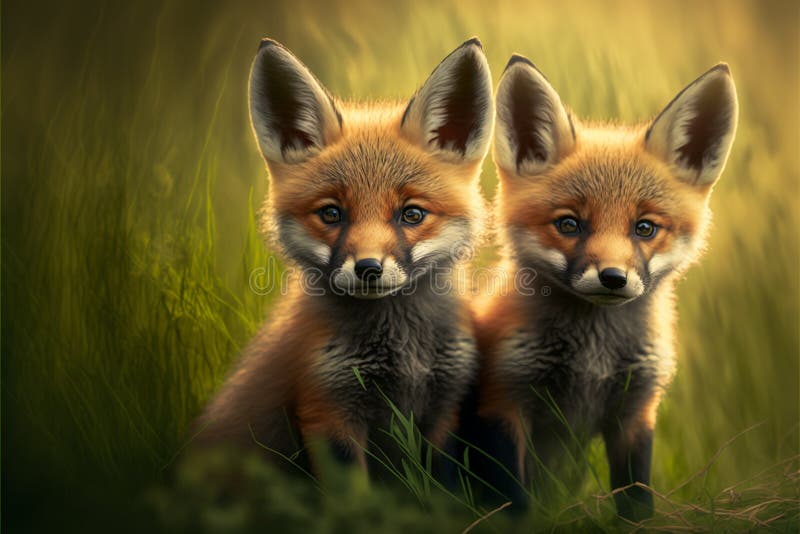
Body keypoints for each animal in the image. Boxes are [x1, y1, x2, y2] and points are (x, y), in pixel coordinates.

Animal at [192, 38, 494, 478]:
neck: (402, 354)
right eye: (332, 213)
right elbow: (353, 493)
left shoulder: (445, 406)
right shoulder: (328, 408)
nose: (368, 269)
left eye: (412, 214)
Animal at [459, 56, 738, 520]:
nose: (612, 277)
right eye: (569, 224)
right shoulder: (504, 401)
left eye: (645, 228)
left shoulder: (636, 410)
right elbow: (514, 498)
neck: (593, 358)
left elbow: (636, 496)